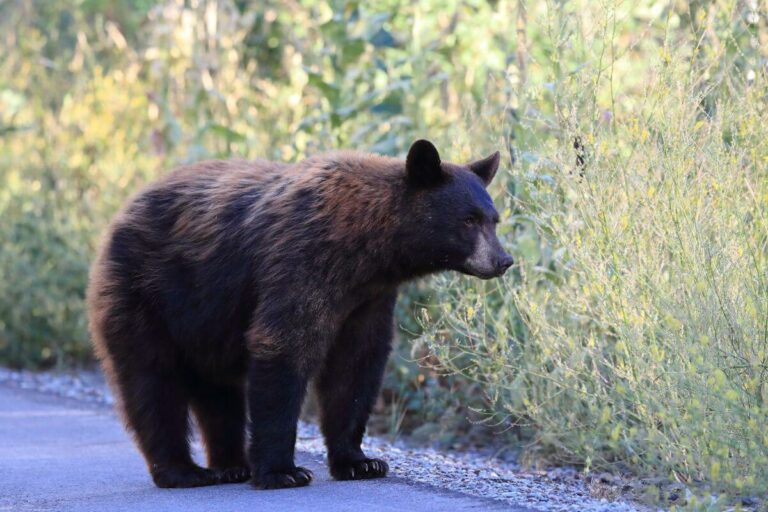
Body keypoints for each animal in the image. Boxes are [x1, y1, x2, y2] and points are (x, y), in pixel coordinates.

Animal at [86, 139, 513, 490]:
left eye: (493, 219)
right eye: (469, 219)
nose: (503, 260)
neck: (366, 248)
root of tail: (121, 214)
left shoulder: (368, 297)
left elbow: (356, 365)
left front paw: (360, 462)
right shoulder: (301, 261)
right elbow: (285, 344)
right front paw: (283, 471)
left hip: (204, 323)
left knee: (218, 391)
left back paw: (232, 466)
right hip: (145, 295)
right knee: (152, 383)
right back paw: (183, 471)